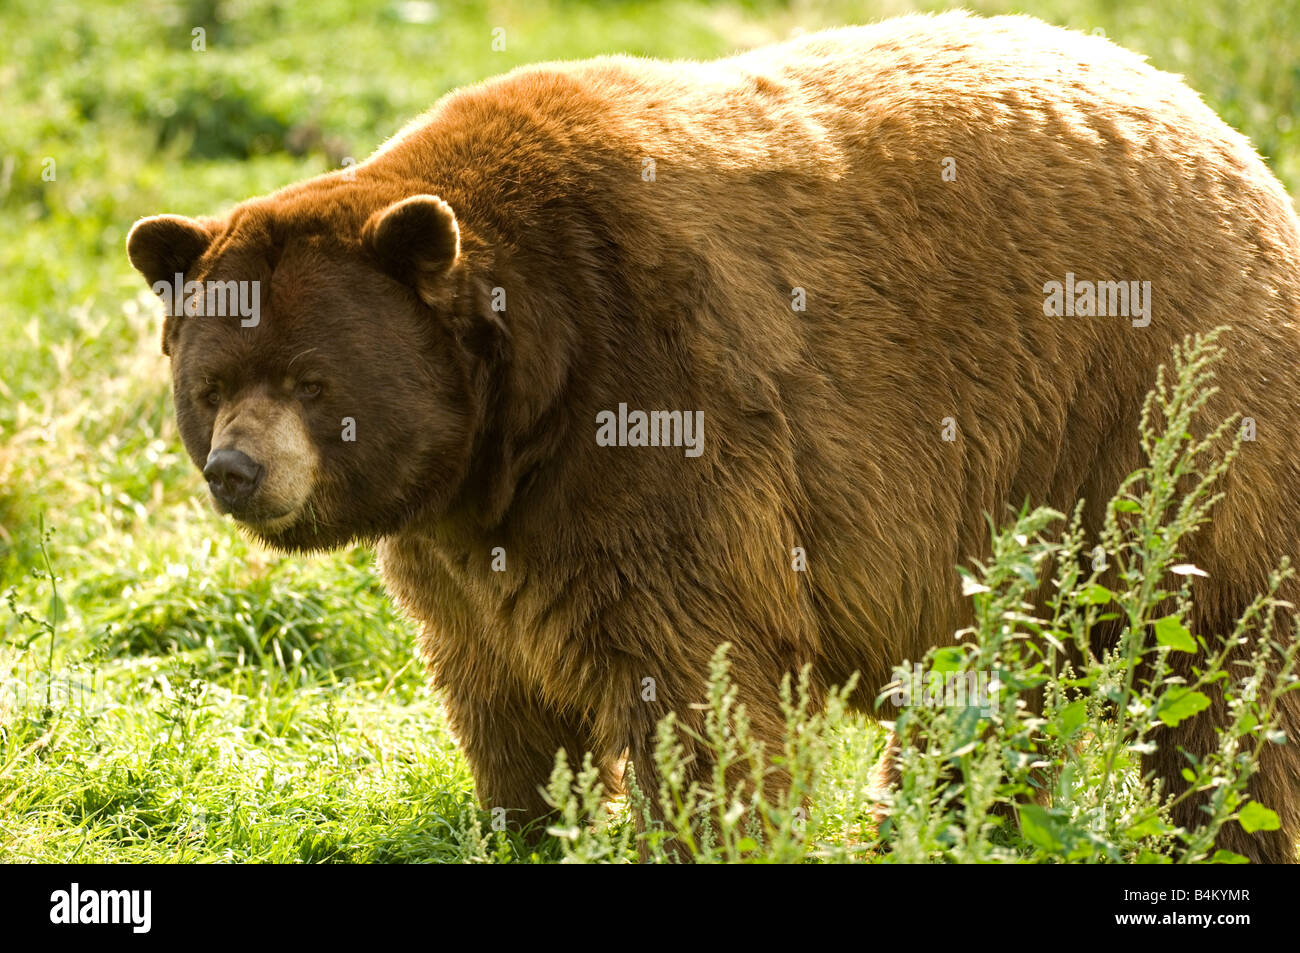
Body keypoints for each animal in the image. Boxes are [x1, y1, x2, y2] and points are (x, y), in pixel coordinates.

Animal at [127, 11, 1300, 862]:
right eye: (210, 383)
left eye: (313, 379)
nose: (239, 468)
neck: (513, 407)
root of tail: (1224, 135)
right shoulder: (465, 539)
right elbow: (495, 689)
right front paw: (523, 820)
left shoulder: (661, 409)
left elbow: (689, 681)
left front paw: (695, 826)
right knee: (992, 685)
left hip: (1153, 409)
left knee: (1228, 666)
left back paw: (1225, 824)